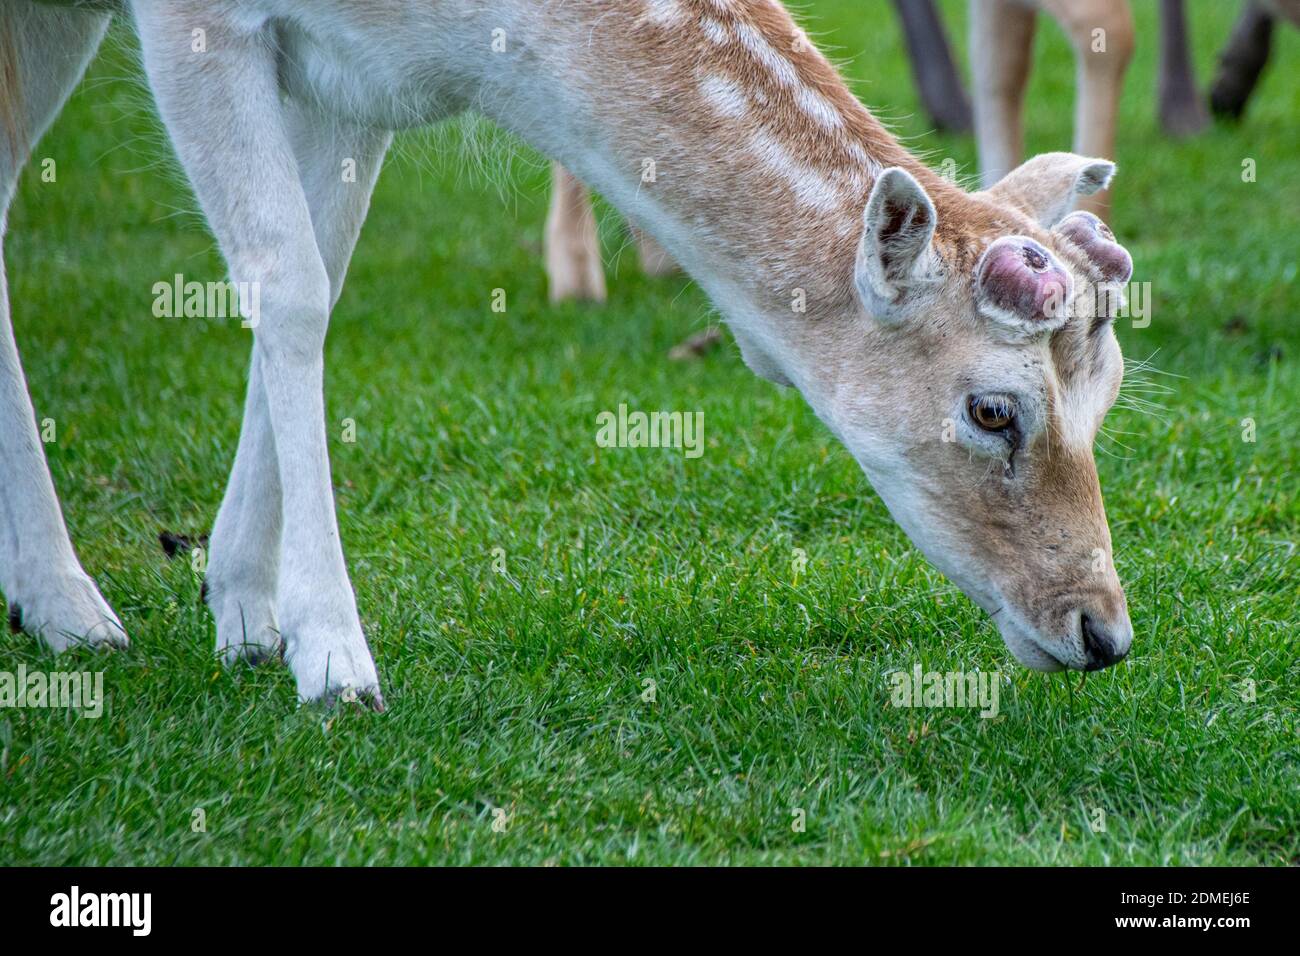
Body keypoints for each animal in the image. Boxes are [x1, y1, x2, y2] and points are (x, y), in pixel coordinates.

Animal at [0, 0, 1136, 709]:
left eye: (1107, 397)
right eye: (992, 409)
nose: (1104, 633)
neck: (468, 45)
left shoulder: (355, 80)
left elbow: (323, 265)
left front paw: (243, 607)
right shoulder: (200, 21)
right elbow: (286, 286)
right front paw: (333, 658)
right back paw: (71, 610)